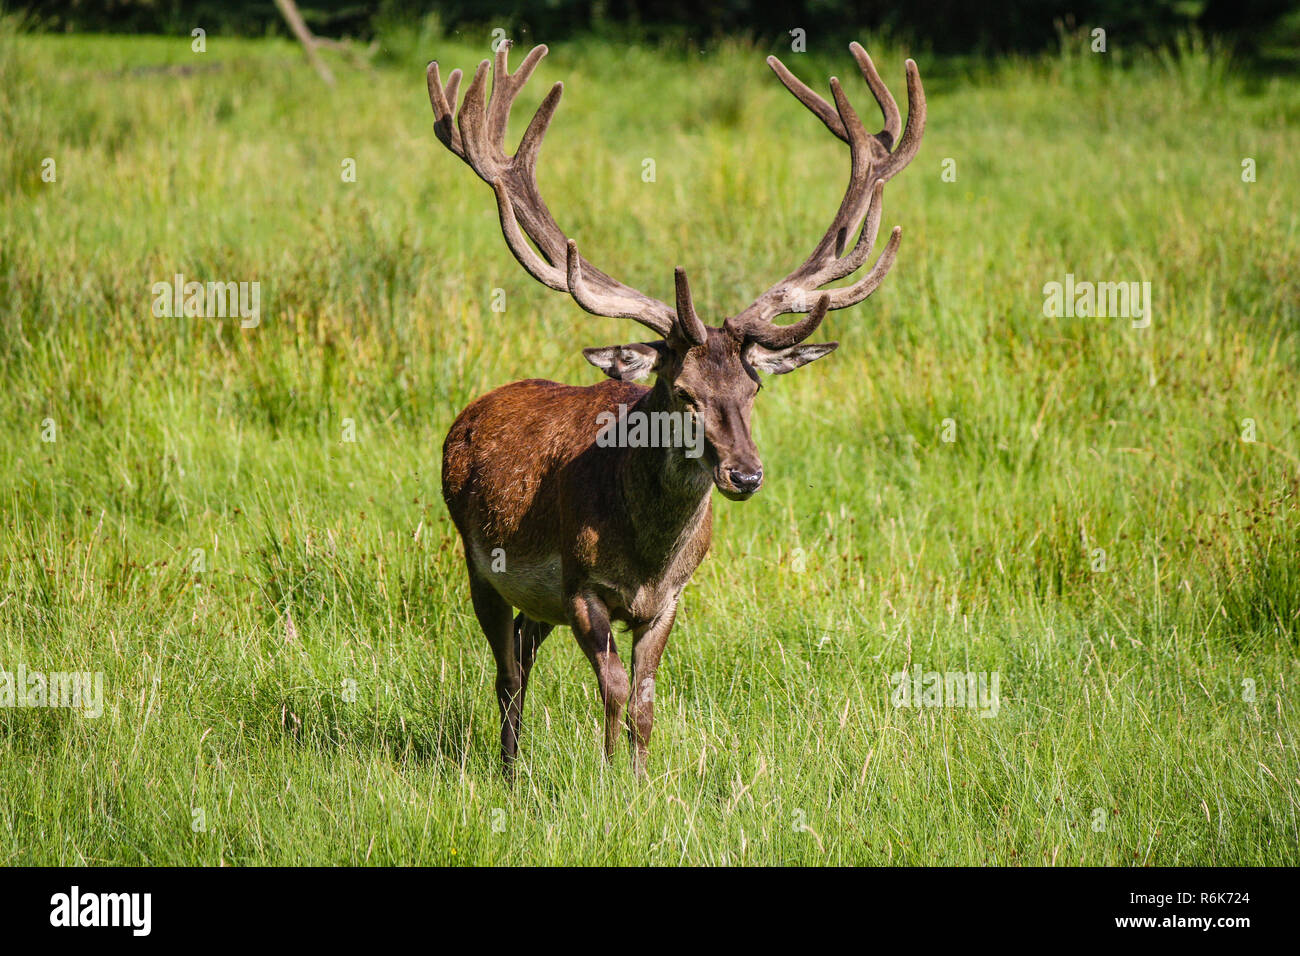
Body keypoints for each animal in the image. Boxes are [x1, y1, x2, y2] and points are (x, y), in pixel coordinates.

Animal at [427, 40, 925, 776]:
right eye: (682, 392)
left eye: (753, 389)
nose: (745, 474)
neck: (646, 558)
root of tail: (468, 415)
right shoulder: (580, 586)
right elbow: (610, 691)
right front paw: (608, 782)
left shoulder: (672, 598)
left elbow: (644, 700)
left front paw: (639, 781)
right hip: (477, 561)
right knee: (507, 674)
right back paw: (511, 773)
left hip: (532, 600)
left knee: (521, 648)